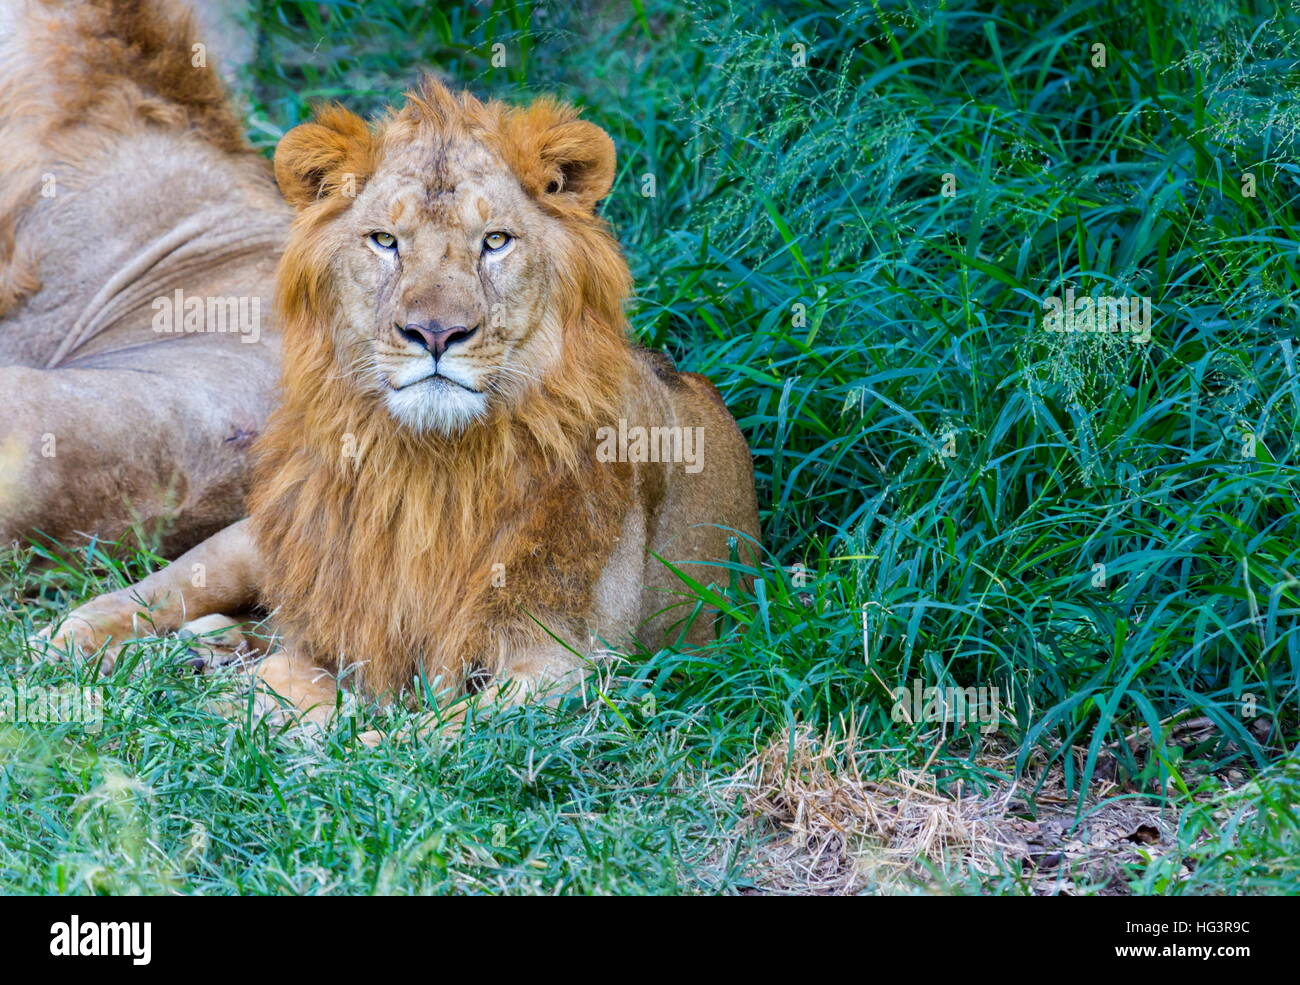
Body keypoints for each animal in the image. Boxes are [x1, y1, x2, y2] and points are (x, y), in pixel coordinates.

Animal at [38, 77, 761, 733]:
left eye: (496, 240)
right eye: (385, 240)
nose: (435, 333)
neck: (434, 462)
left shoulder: (568, 662)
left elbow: (424, 735)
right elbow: (314, 681)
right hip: (254, 542)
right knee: (152, 592)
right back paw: (80, 645)